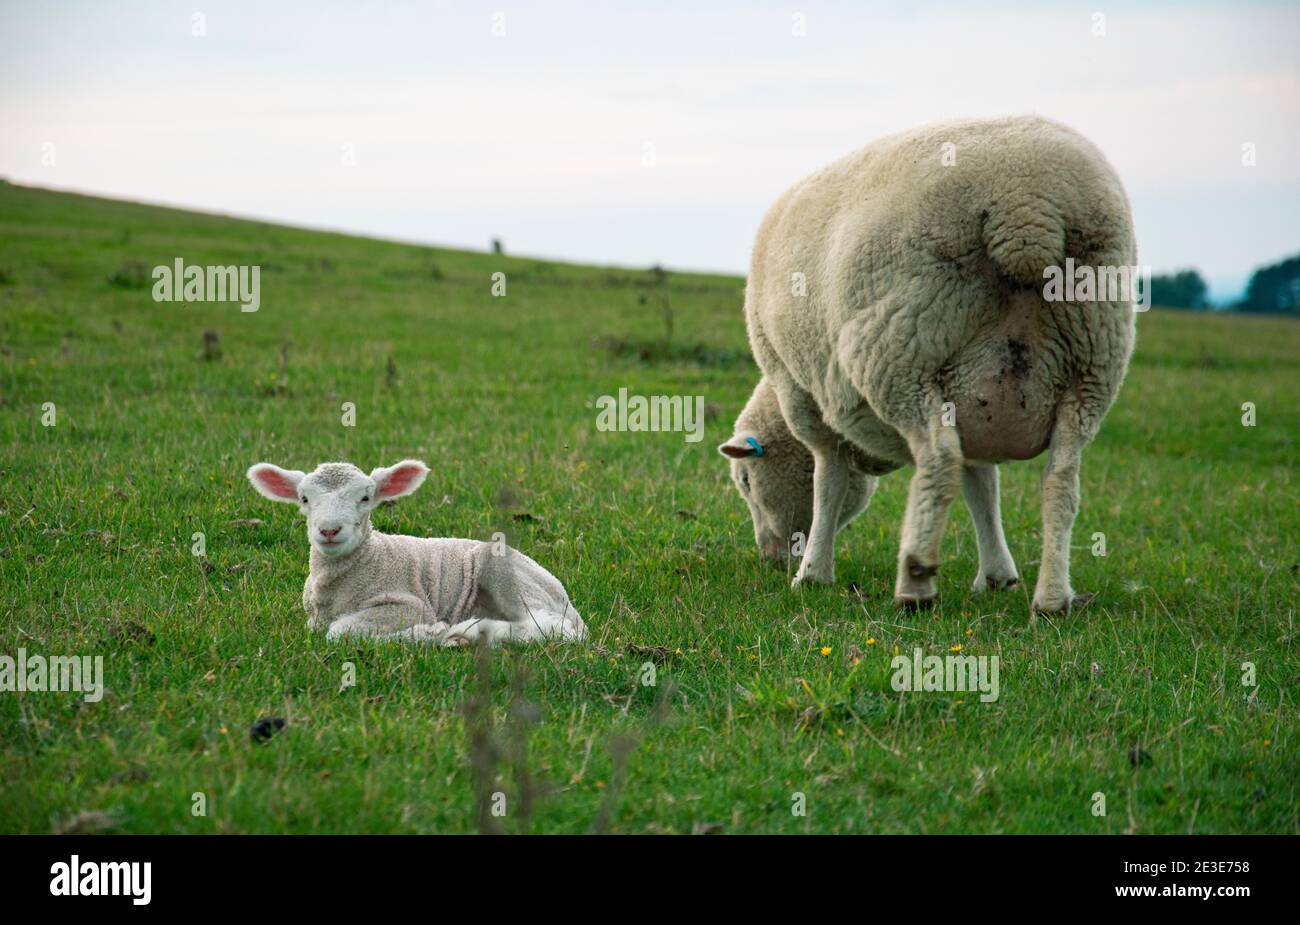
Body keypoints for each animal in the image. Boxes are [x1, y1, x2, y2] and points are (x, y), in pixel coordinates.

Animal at [246, 459, 587, 645]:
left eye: (366, 498)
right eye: (304, 499)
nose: (329, 530)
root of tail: (567, 600)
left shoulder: (408, 604)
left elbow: (339, 630)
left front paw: (426, 632)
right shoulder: (313, 619)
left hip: (507, 573)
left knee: (551, 627)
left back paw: (466, 632)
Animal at [719, 115, 1137, 614]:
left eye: (746, 480)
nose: (770, 556)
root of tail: (1028, 200)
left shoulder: (804, 399)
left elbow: (828, 483)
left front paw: (812, 573)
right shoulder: (976, 407)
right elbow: (982, 485)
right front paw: (997, 574)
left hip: (902, 350)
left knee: (939, 460)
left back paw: (915, 585)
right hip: (1092, 356)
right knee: (1061, 479)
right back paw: (1052, 598)